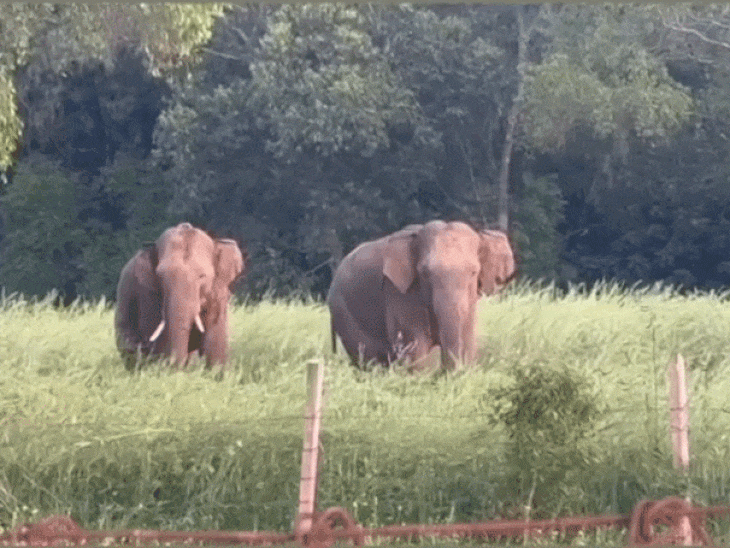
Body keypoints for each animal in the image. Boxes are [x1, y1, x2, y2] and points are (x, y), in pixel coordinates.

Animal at [327, 220, 516, 372]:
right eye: (425, 273)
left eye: (473, 272)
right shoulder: (399, 292)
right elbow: (416, 348)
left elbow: (468, 339)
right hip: (345, 314)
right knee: (369, 361)